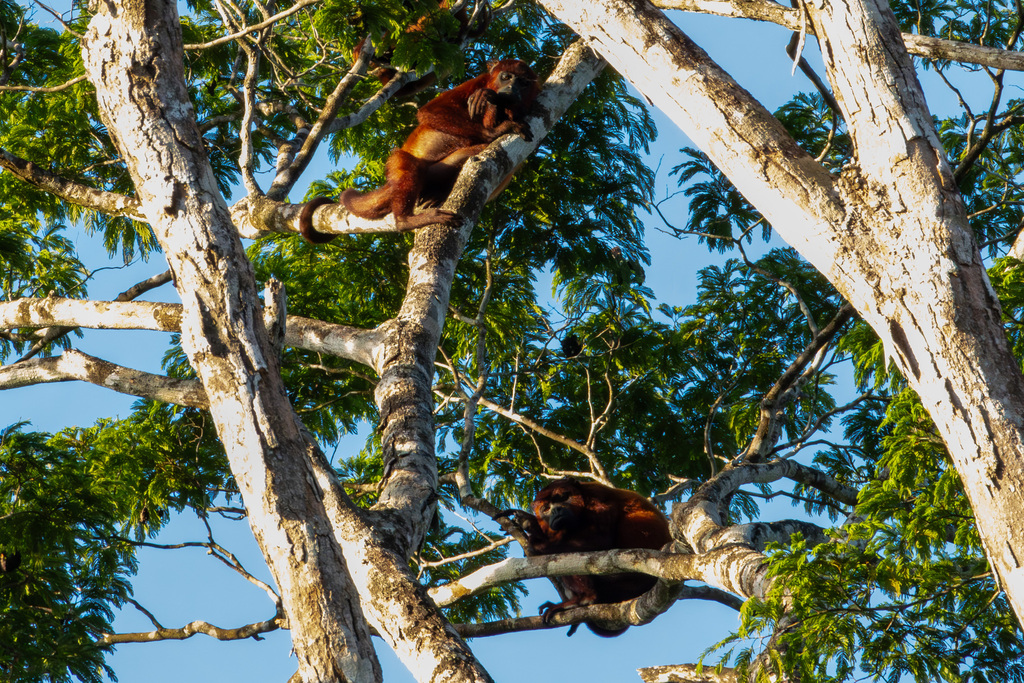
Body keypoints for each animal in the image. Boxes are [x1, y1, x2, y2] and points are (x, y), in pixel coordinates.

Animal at [298, 59, 538, 243]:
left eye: (523, 83)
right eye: (506, 76)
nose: (512, 88)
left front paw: (500, 106)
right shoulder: (476, 81)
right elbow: (430, 111)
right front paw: (496, 126)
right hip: (401, 166)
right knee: (406, 163)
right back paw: (407, 220)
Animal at [499, 478, 672, 637]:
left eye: (563, 497)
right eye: (546, 508)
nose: (556, 510)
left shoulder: (599, 502)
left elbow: (599, 541)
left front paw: (535, 540)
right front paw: (530, 523)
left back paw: (583, 599)